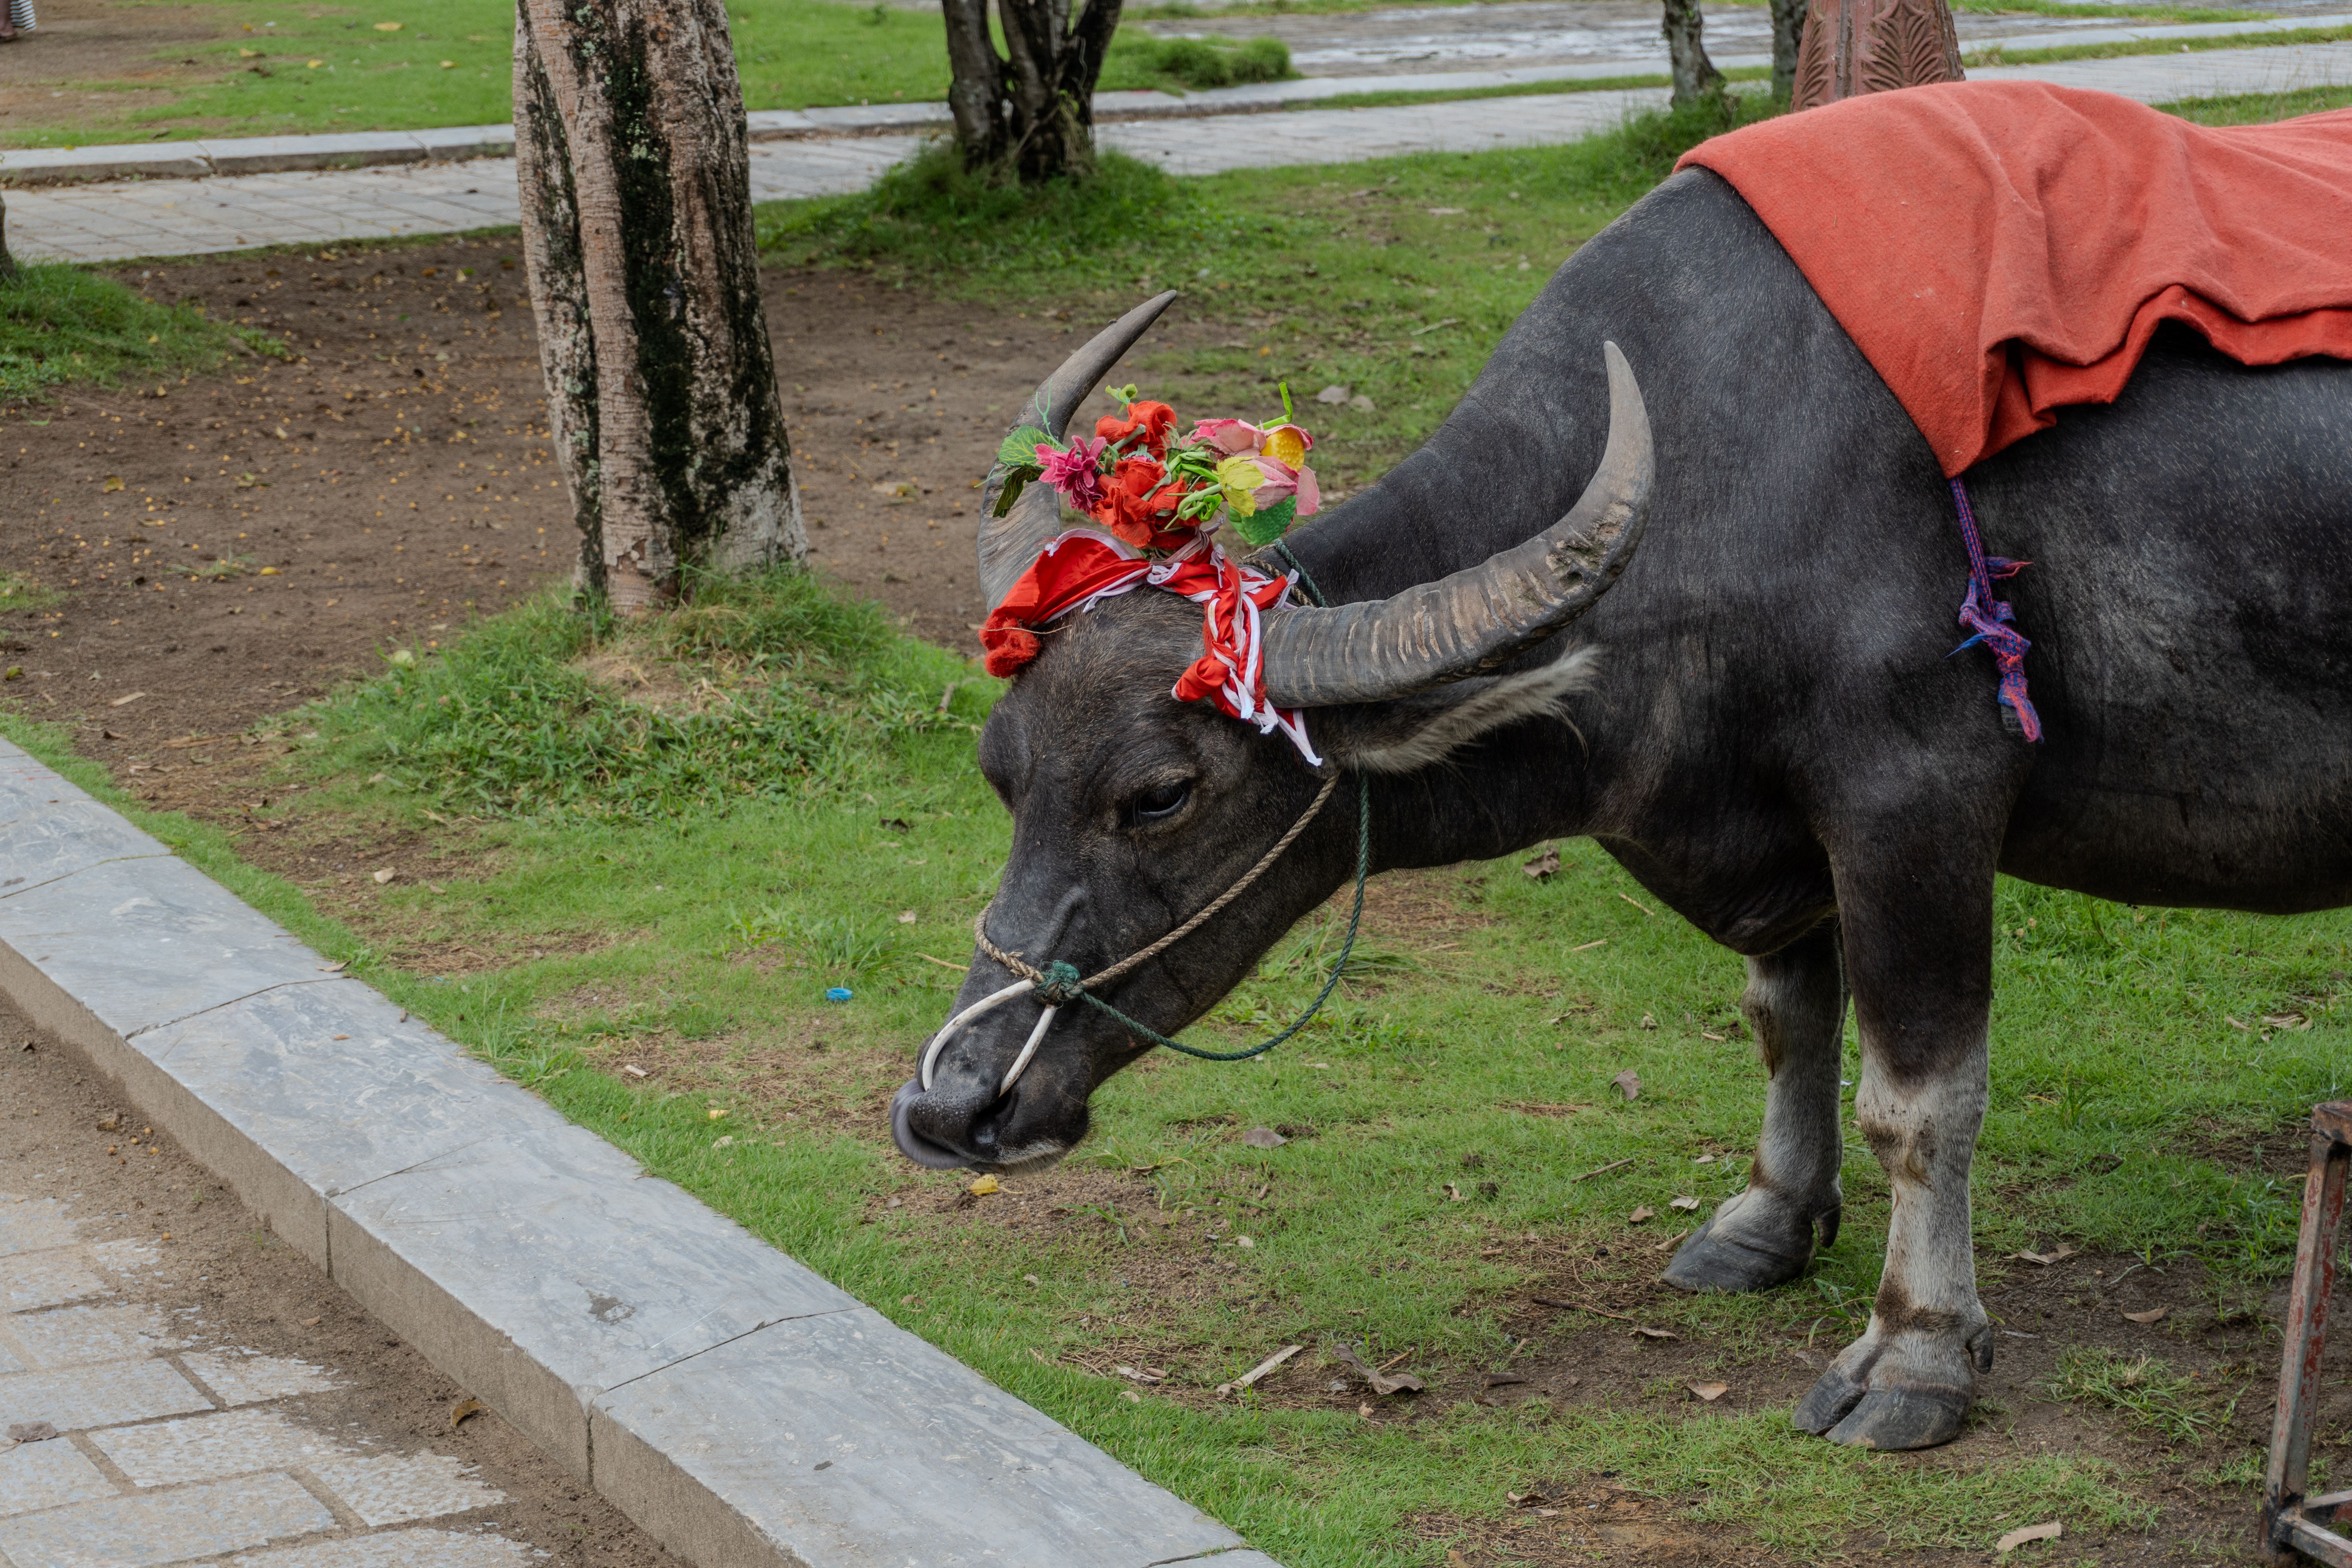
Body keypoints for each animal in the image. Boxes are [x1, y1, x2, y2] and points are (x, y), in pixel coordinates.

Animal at [889, 165, 2352, 1451]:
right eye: (1000, 769)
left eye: (1159, 794)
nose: (950, 1109)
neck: (1725, 486)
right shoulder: (1782, 836)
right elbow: (1784, 1019)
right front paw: (1767, 1218)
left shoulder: (1916, 810)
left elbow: (1919, 1099)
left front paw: (1916, 1352)